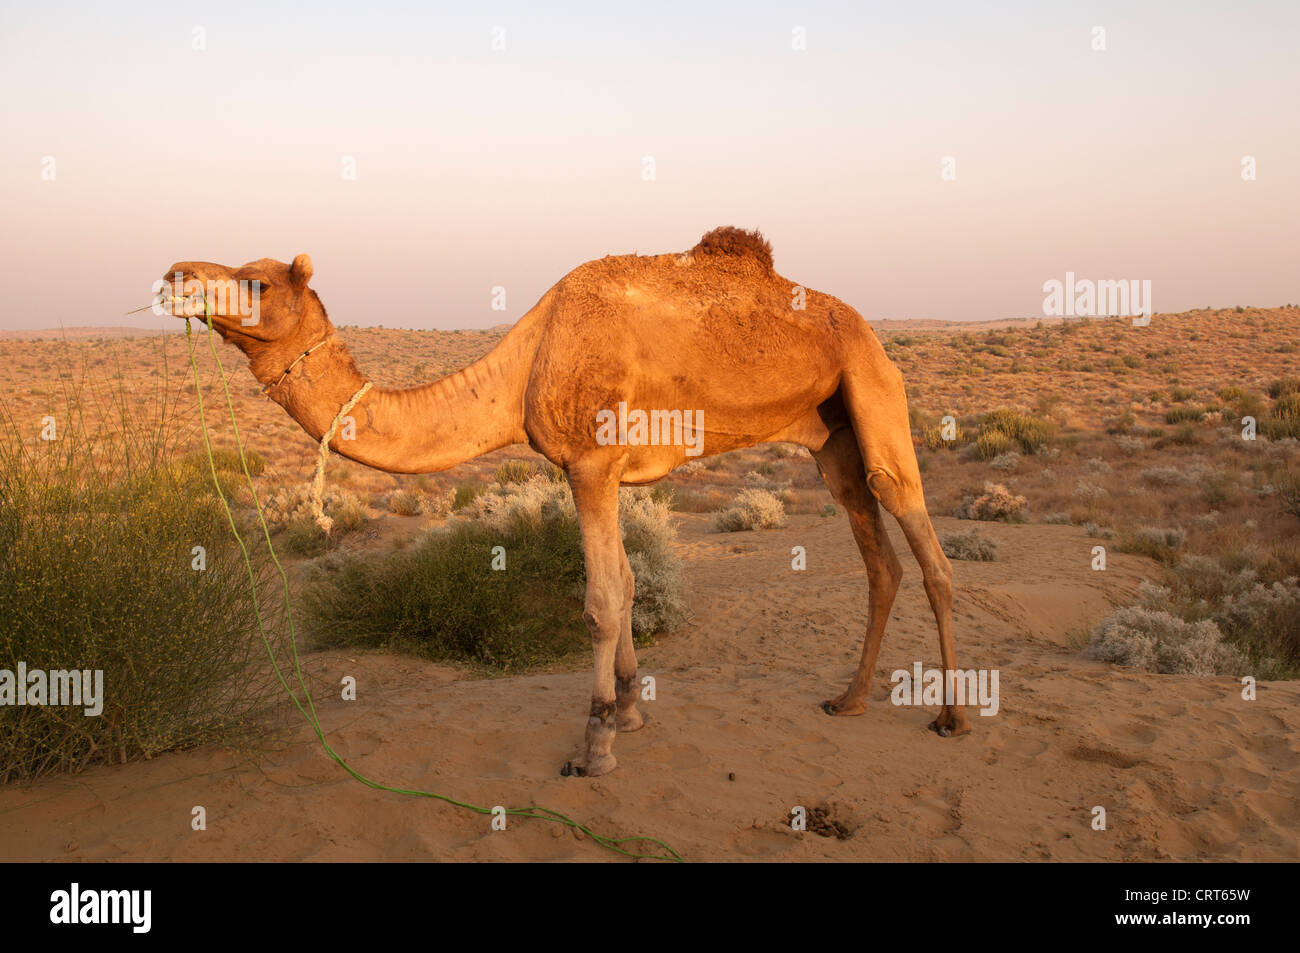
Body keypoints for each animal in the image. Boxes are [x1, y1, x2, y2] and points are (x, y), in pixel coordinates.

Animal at [160, 226, 969, 777]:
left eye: (257, 283)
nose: (174, 273)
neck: (522, 365)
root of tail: (868, 329)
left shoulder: (590, 462)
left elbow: (602, 598)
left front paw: (595, 746)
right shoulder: (600, 472)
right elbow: (632, 584)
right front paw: (633, 713)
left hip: (873, 386)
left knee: (925, 546)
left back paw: (952, 714)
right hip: (831, 437)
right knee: (878, 555)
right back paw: (849, 699)